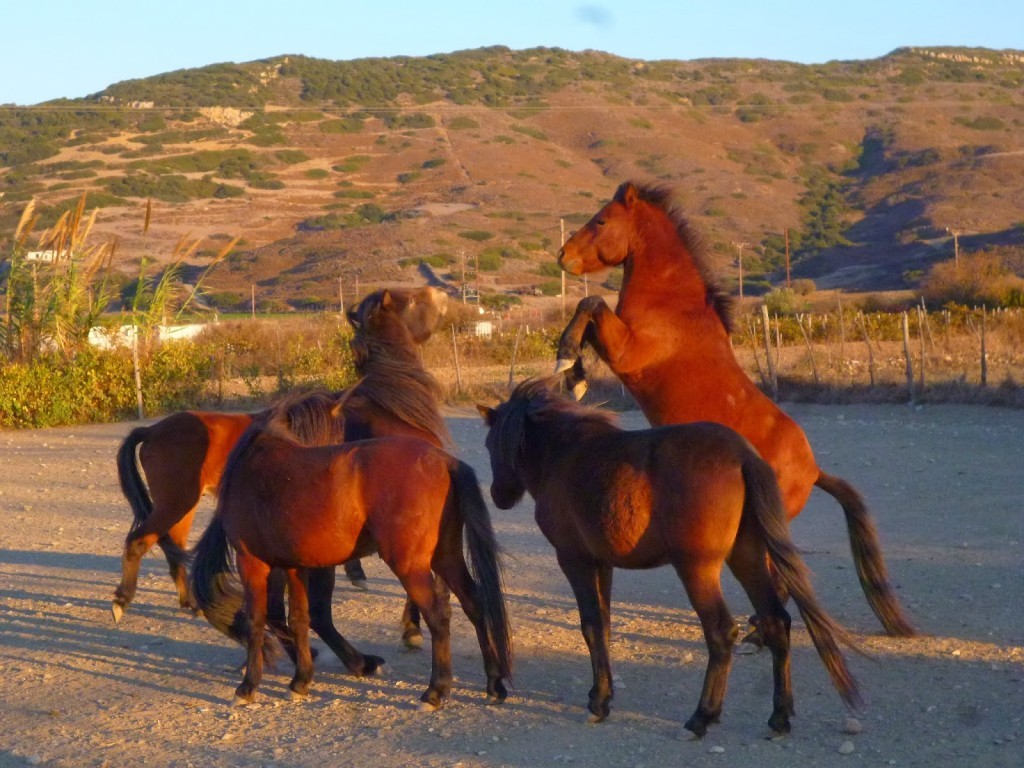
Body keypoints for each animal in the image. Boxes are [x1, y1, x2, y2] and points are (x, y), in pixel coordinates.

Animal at [111, 285, 450, 653]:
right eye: (413, 299)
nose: (442, 293)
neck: (386, 407)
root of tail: (152, 430)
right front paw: (411, 629)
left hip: (182, 507)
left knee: (173, 547)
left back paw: (190, 604)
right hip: (177, 503)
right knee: (140, 541)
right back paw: (122, 602)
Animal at [190, 393, 513, 710]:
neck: (253, 465)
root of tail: (444, 460)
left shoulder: (252, 562)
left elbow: (258, 620)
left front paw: (247, 687)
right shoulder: (294, 565)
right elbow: (299, 618)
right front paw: (300, 682)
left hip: (410, 564)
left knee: (438, 615)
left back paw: (435, 692)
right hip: (446, 556)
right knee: (474, 603)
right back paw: (494, 685)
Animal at [478, 378, 860, 737]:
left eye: (490, 444)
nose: (498, 495)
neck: (562, 454)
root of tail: (742, 456)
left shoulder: (575, 561)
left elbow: (591, 625)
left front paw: (598, 701)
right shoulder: (602, 564)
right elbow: (603, 624)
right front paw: (602, 693)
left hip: (696, 569)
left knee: (721, 632)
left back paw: (702, 716)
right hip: (747, 558)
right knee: (776, 622)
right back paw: (779, 717)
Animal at [554, 181, 915, 639]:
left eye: (601, 220)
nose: (562, 256)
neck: (671, 301)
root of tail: (814, 472)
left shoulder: (627, 350)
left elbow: (590, 306)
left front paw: (567, 361)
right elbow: (588, 313)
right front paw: (574, 375)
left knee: (777, 578)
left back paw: (762, 629)